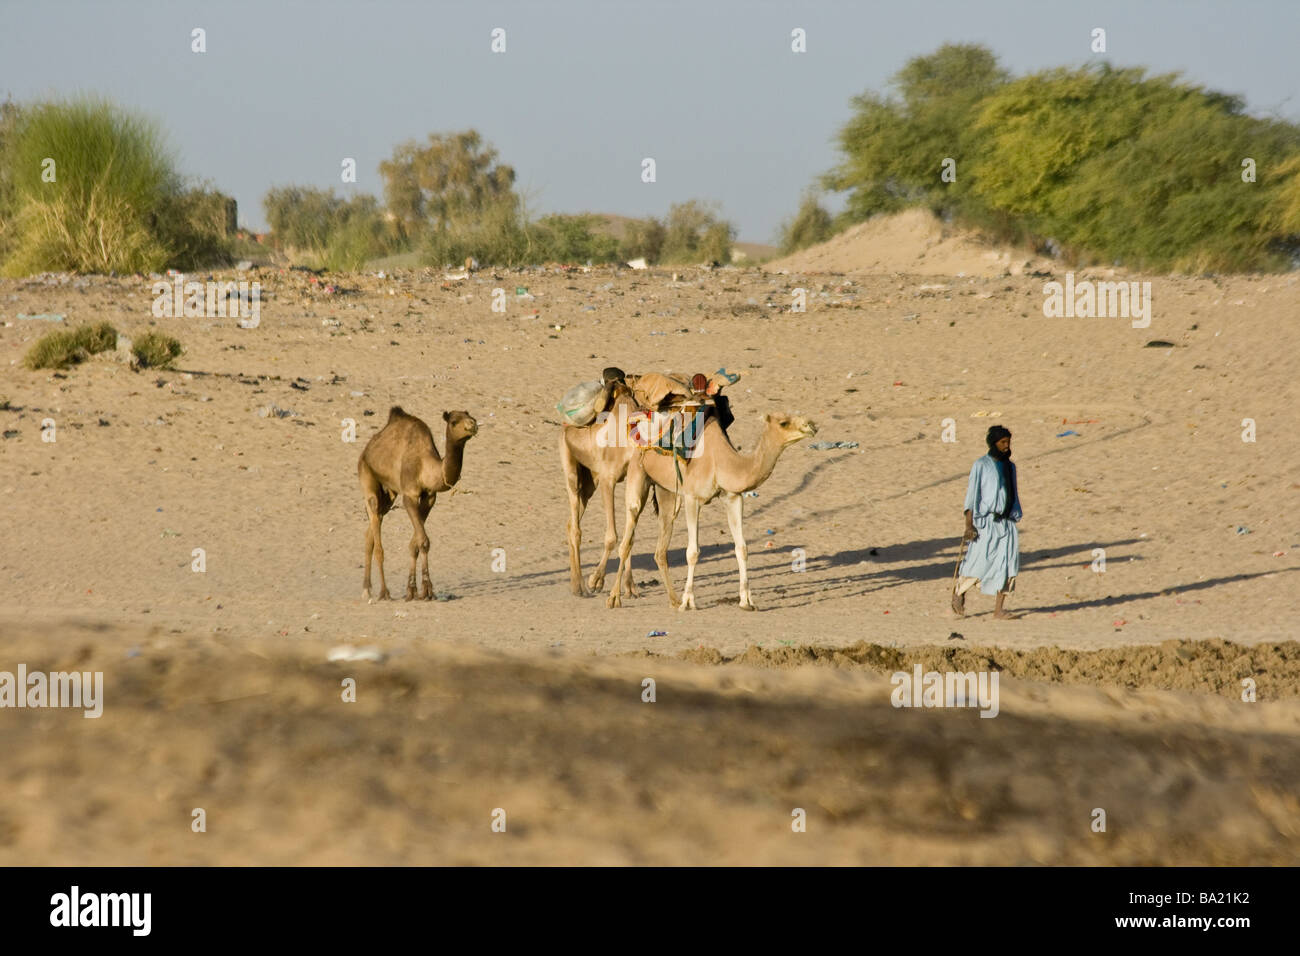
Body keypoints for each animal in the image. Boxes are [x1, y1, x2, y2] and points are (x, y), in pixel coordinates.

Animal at [358, 406, 477, 602]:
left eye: (471, 416)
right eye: (454, 422)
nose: (473, 425)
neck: (426, 466)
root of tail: (368, 448)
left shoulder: (429, 497)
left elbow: (415, 543)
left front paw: (412, 590)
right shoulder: (410, 495)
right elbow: (424, 541)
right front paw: (427, 590)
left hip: (389, 494)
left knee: (372, 529)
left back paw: (367, 588)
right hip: (366, 473)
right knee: (375, 518)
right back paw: (383, 592)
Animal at [607, 412, 817, 611]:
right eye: (783, 423)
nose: (812, 425)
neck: (722, 463)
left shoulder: (733, 497)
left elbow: (742, 548)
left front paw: (747, 601)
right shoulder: (692, 498)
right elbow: (692, 552)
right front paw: (688, 602)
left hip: (666, 491)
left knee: (661, 546)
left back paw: (673, 600)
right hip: (637, 472)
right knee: (628, 535)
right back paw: (614, 598)